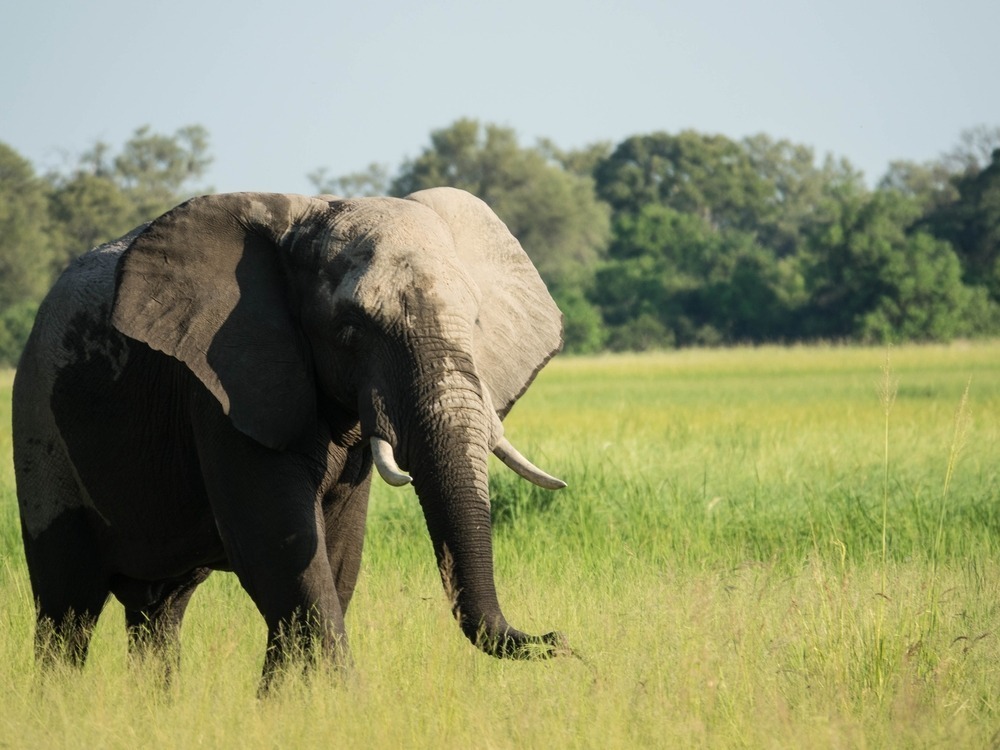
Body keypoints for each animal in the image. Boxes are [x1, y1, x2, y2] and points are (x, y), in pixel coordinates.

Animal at [13, 187, 567, 684]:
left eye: (474, 322)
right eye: (350, 330)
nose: (557, 639)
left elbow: (336, 556)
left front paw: (289, 704)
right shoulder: (221, 388)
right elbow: (279, 546)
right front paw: (342, 703)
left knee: (159, 610)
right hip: (39, 423)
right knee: (68, 602)